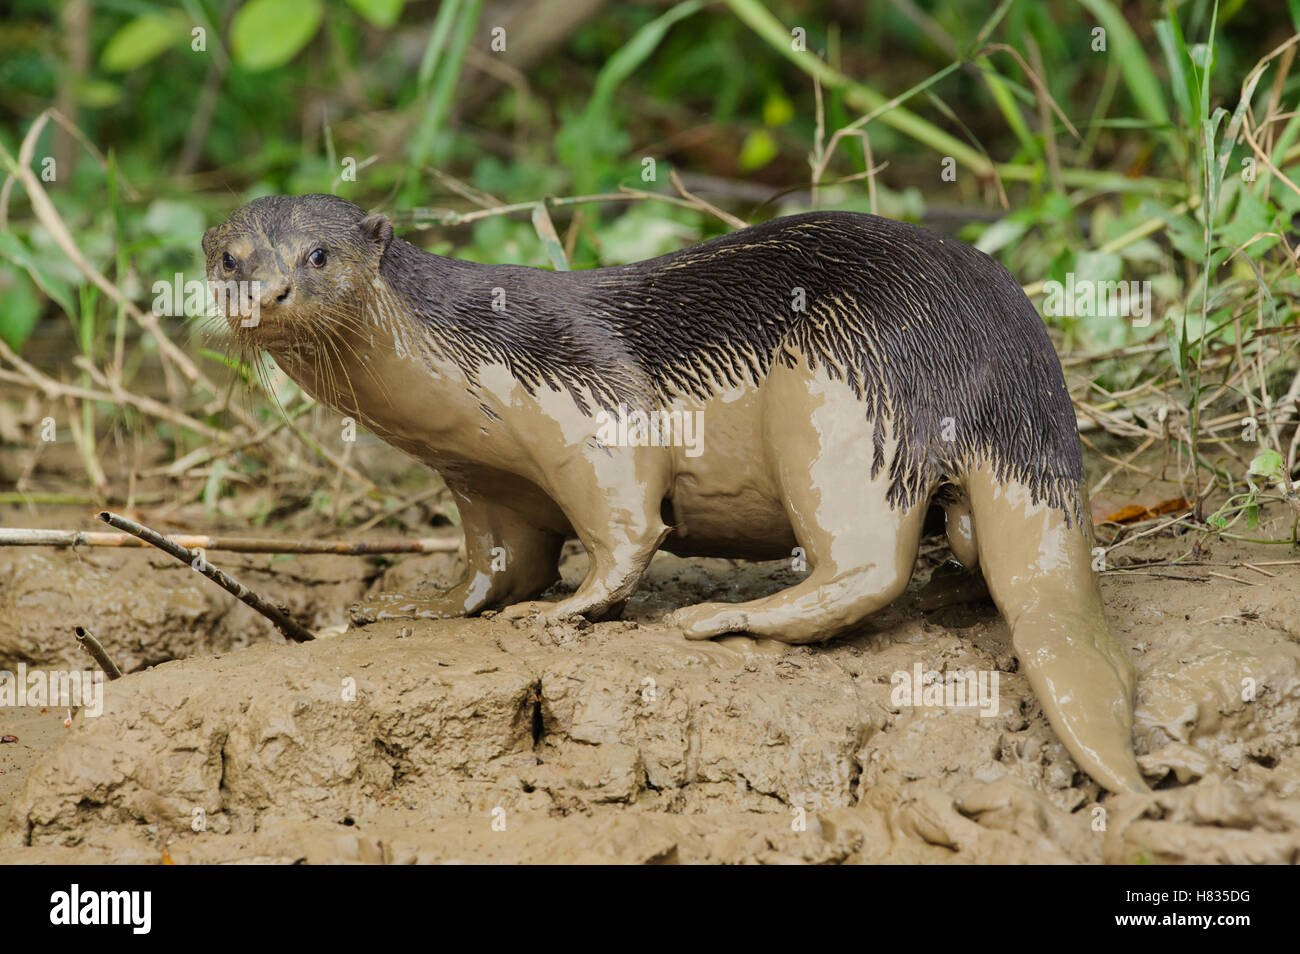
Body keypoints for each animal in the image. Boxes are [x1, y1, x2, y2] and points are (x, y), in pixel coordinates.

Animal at [203, 193, 1146, 793]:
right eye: (228, 258)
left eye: (318, 256)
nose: (266, 291)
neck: (457, 357)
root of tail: (1005, 345)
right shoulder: (480, 479)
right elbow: (498, 559)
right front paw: (418, 607)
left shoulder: (581, 397)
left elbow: (623, 522)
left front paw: (564, 612)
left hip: (840, 389)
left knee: (868, 561)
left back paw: (722, 620)